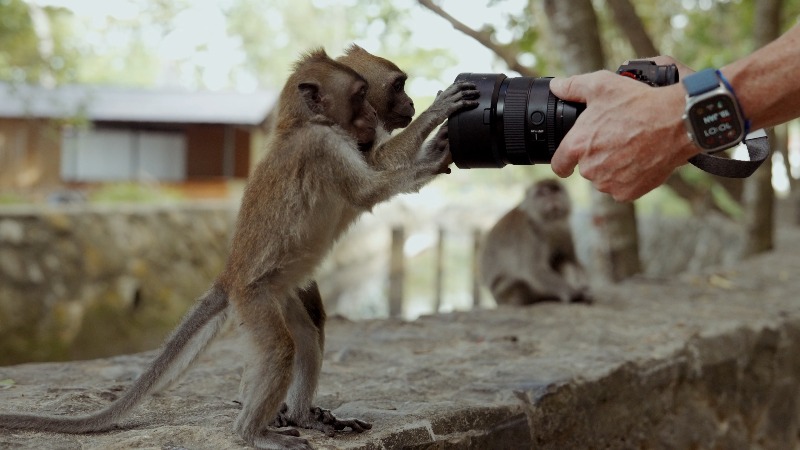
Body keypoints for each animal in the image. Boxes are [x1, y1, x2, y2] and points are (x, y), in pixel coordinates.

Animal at [0, 49, 479, 450]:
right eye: (374, 91)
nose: (409, 104)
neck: (306, 125)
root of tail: (230, 275)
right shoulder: (324, 147)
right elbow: (370, 187)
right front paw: (438, 132)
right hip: (256, 300)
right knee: (280, 347)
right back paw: (252, 432)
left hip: (279, 291)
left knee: (307, 331)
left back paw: (302, 416)